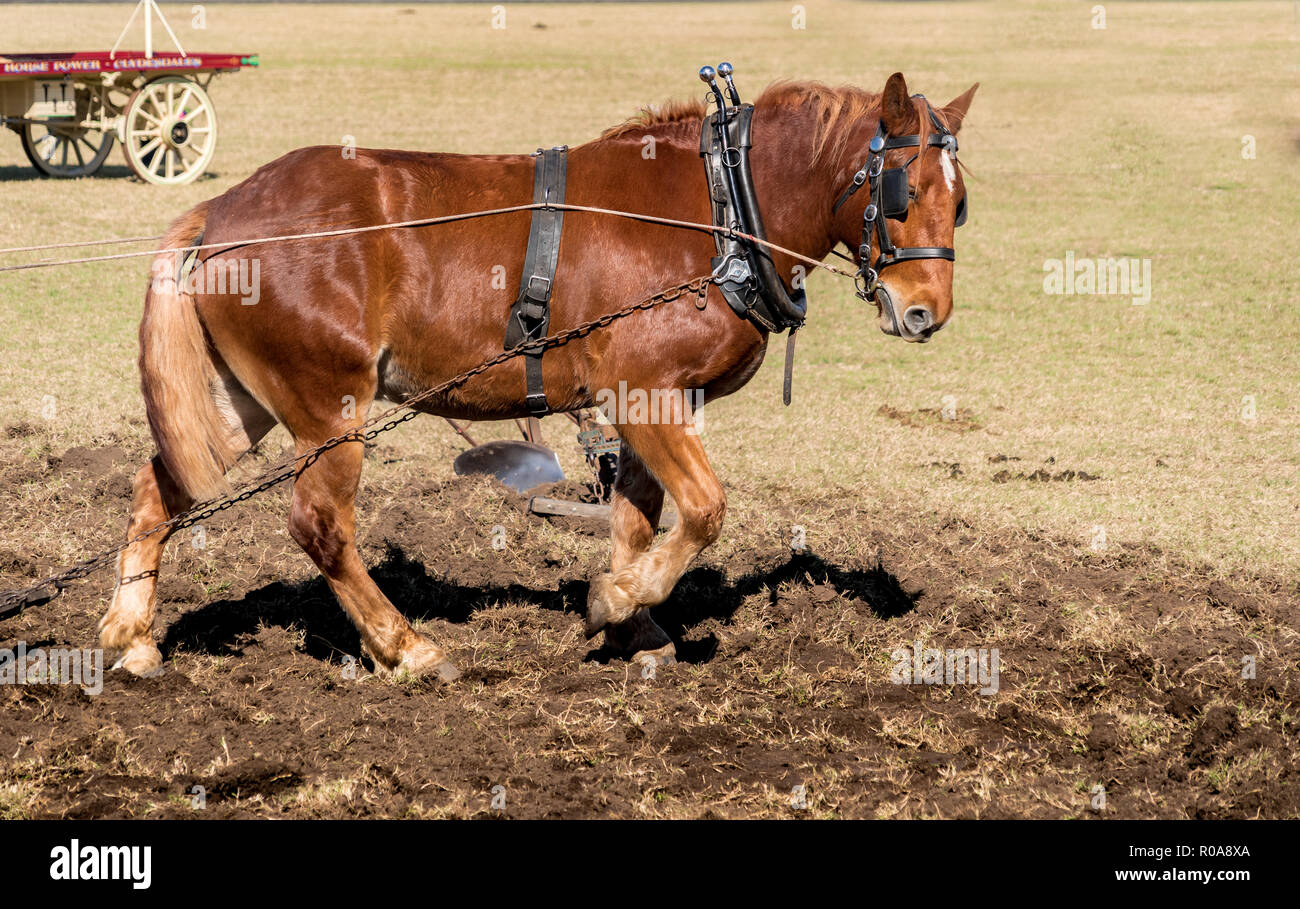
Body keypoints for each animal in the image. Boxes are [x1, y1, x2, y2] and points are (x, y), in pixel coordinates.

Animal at [98, 72, 977, 681]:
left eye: (960, 199)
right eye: (901, 190)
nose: (926, 311)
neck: (721, 207)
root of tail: (224, 211)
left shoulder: (655, 401)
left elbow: (635, 517)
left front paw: (632, 621)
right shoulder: (646, 394)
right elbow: (702, 510)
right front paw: (616, 599)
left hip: (239, 400)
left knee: (160, 489)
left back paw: (132, 635)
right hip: (327, 408)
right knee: (320, 527)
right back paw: (406, 646)